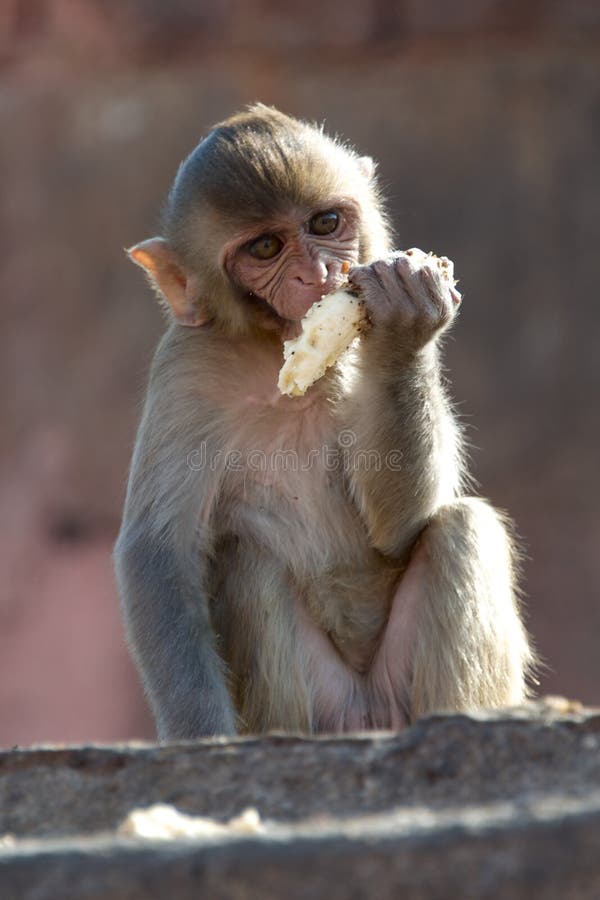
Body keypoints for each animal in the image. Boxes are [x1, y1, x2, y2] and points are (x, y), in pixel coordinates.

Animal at [114, 104, 533, 739]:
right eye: (265, 247)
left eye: (326, 222)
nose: (315, 274)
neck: (278, 356)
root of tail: (368, 717)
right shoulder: (185, 369)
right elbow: (159, 552)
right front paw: (205, 737)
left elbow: (400, 529)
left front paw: (406, 323)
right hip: (322, 705)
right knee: (246, 562)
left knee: (461, 528)